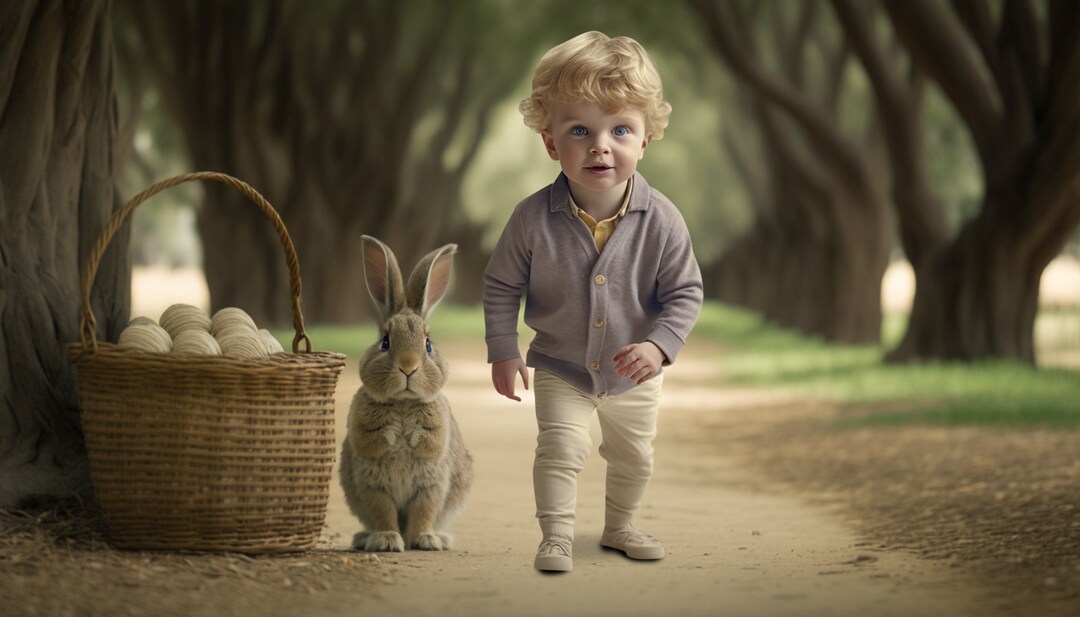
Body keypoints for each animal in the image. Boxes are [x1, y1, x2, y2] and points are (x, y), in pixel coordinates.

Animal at [339, 235, 474, 552]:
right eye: (385, 341)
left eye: (428, 344)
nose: (408, 367)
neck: (403, 403)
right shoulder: (373, 478)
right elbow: (373, 442)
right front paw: (388, 542)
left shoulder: (431, 477)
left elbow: (428, 443)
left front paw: (424, 541)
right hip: (368, 493)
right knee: (382, 516)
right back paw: (372, 538)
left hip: (437, 490)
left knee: (425, 514)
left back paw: (434, 539)